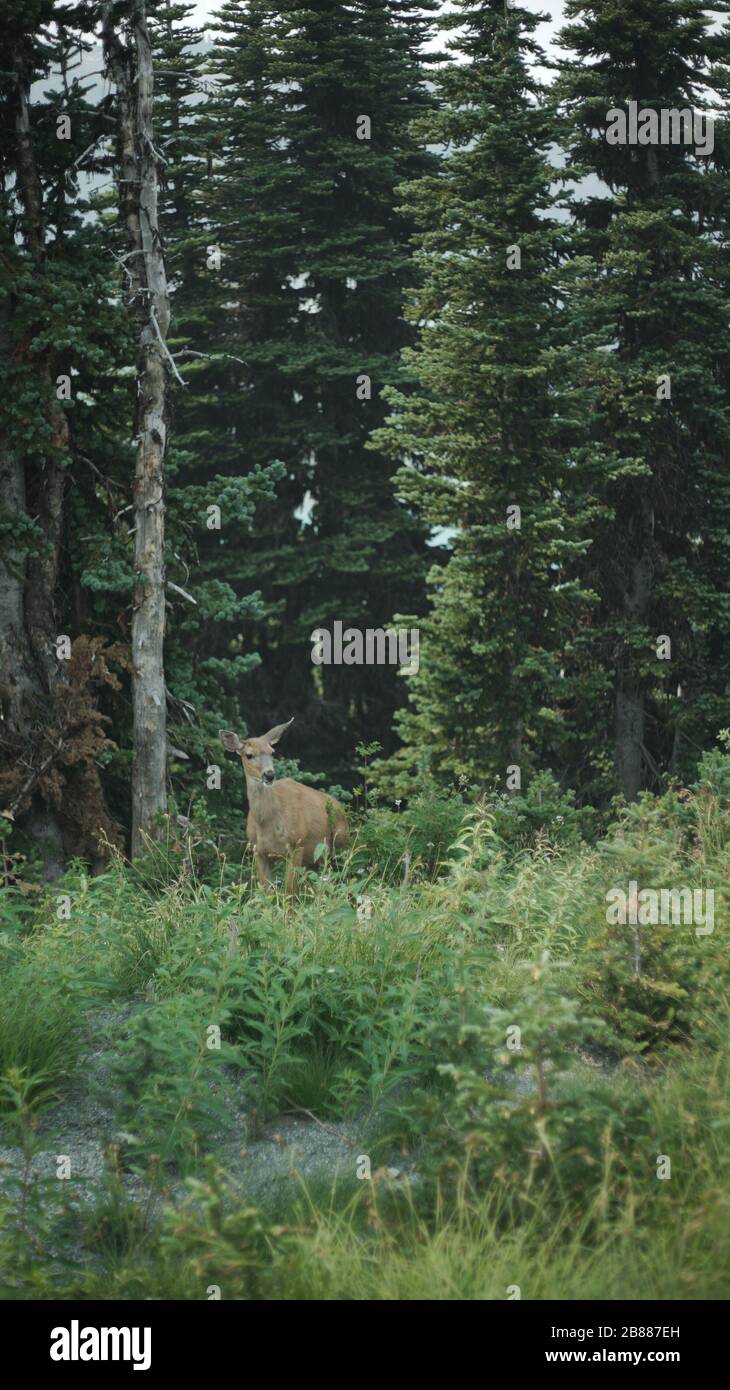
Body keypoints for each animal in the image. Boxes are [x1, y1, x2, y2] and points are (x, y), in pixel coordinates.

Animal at [219, 718, 348, 894]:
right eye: (249, 755)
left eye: (272, 752)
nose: (269, 775)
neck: (267, 825)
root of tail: (339, 806)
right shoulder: (258, 851)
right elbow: (268, 892)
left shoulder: (297, 845)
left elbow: (289, 892)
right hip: (316, 858)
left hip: (341, 841)